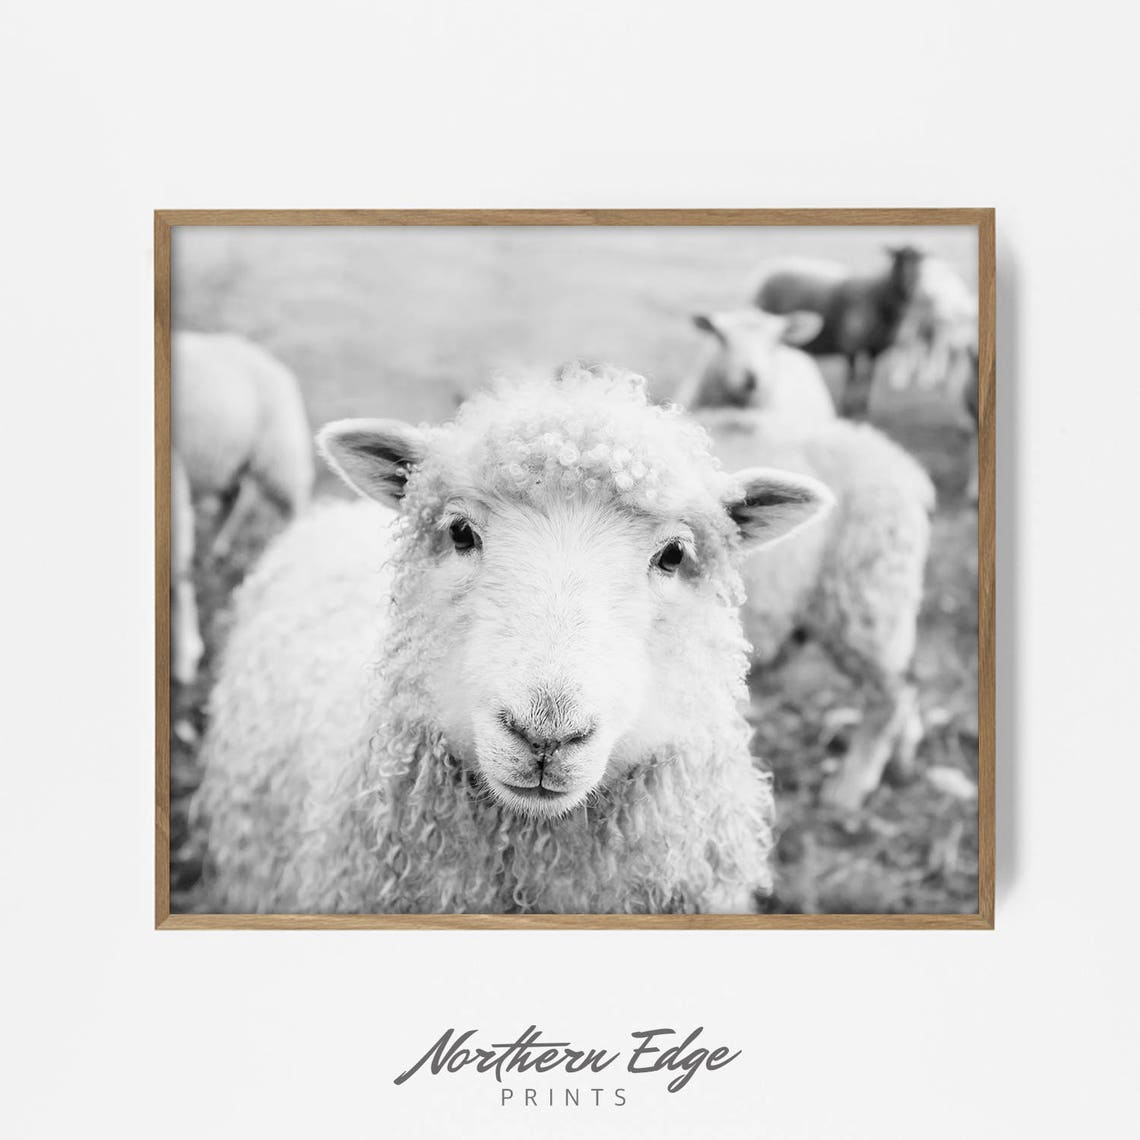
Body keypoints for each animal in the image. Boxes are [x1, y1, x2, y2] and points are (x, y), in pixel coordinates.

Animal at [694, 407, 935, 810]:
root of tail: (904, 466)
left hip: (863, 592)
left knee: (893, 691)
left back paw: (851, 787)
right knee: (907, 680)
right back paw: (901, 759)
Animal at [754, 247, 926, 417]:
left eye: (919, 264)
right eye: (898, 261)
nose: (909, 286)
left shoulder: (875, 349)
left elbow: (869, 377)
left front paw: (864, 407)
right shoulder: (851, 345)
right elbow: (852, 377)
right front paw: (848, 408)